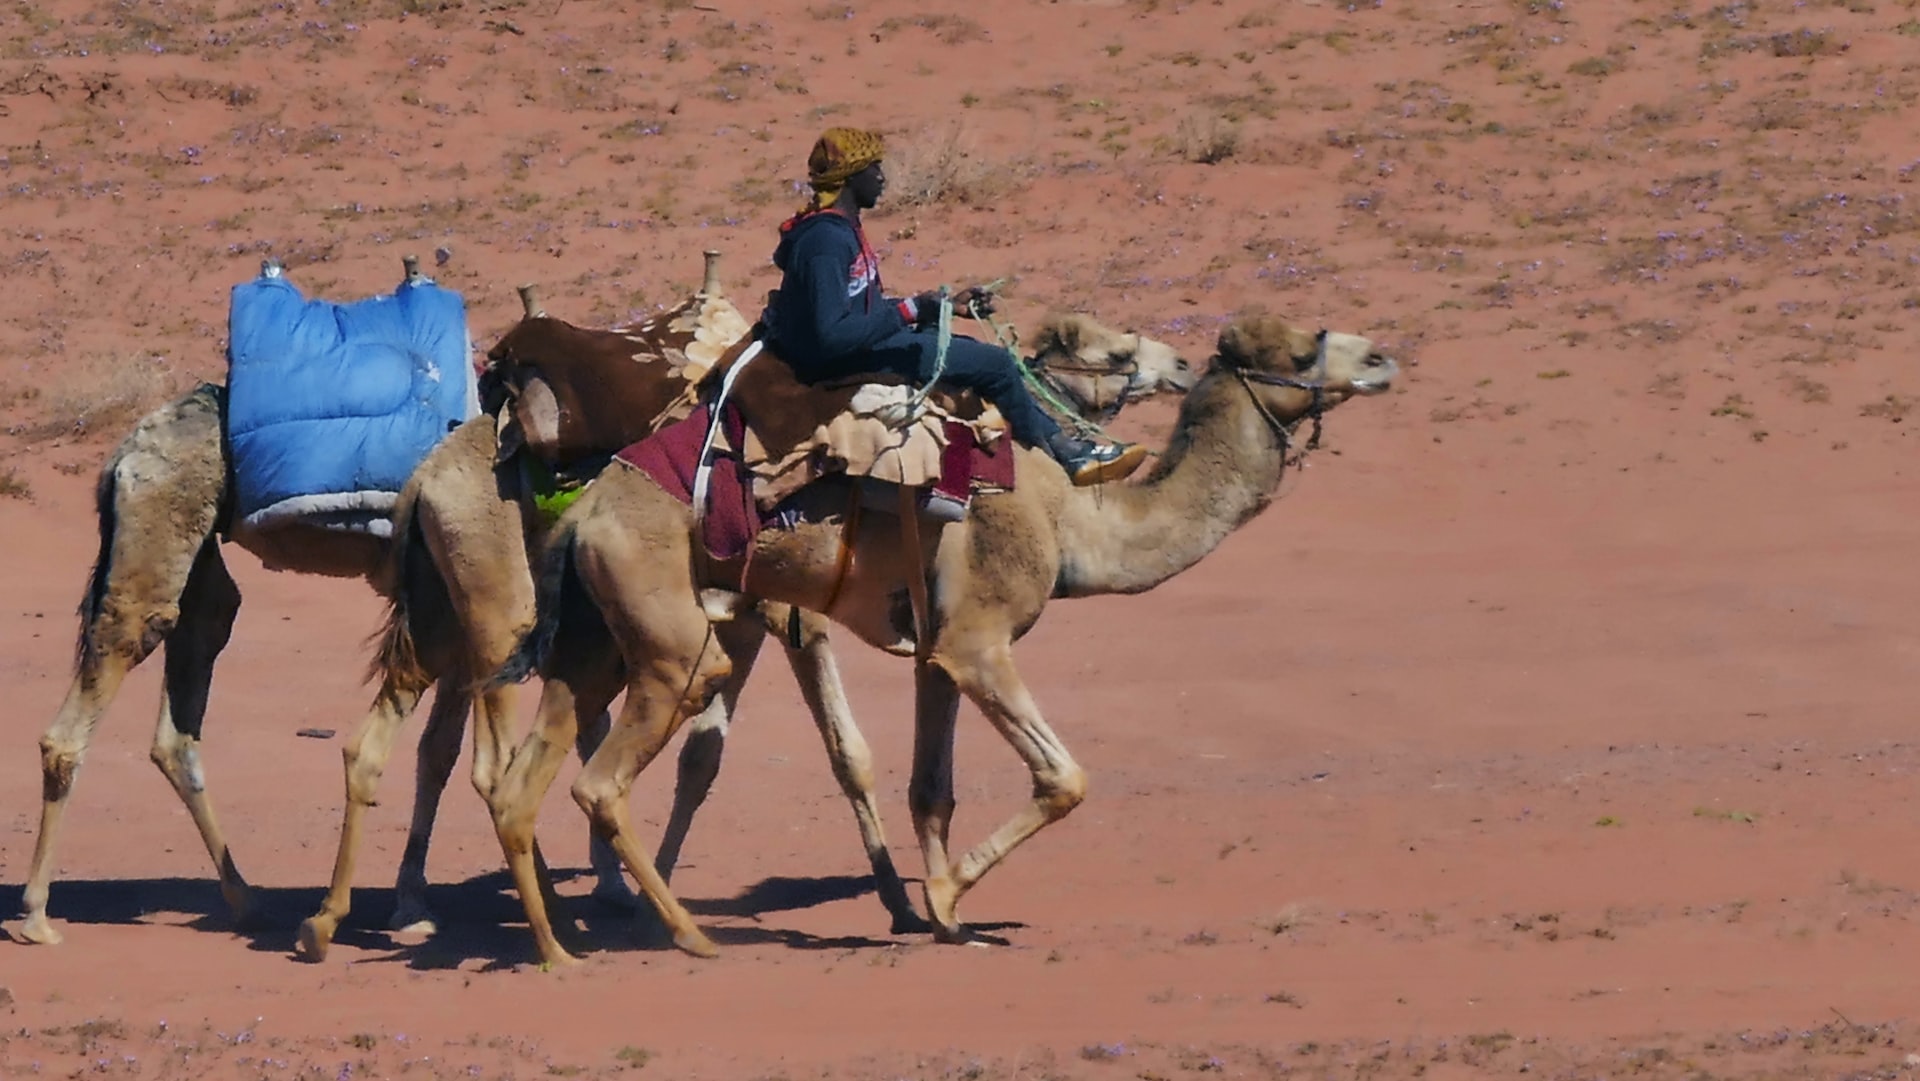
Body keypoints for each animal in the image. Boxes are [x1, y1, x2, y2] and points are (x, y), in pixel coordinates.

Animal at [16, 252, 1191, 951]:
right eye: (1104, 348)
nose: (1177, 360)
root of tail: (128, 446)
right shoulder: (779, 599)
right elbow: (829, 749)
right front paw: (903, 900)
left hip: (231, 575)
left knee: (188, 723)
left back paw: (262, 902)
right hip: (201, 543)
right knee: (87, 712)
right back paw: (37, 917)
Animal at [479, 312, 1400, 966]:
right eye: (1305, 345)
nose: (1385, 357)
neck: (1075, 520)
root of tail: (587, 512)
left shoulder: (937, 650)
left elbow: (933, 787)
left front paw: (939, 910)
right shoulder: (982, 640)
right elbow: (1064, 778)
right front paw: (951, 899)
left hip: (597, 640)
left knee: (528, 778)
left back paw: (559, 950)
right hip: (676, 646)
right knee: (602, 780)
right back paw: (688, 934)